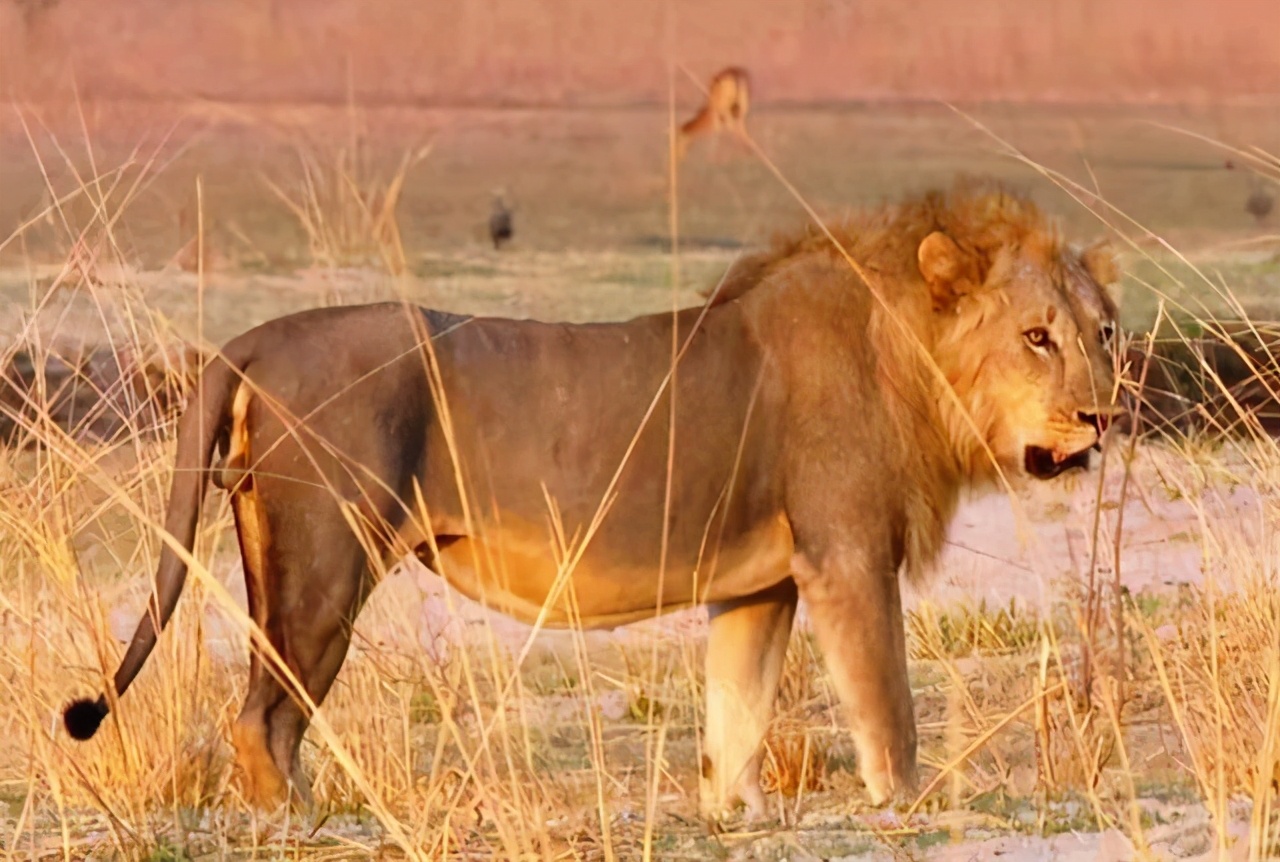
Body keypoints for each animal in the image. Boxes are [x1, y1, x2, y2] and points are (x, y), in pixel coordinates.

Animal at [63, 181, 1119, 820]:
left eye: (1102, 331)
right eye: (1036, 336)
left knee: (266, 717)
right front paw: (902, 806)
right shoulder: (847, 556)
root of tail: (252, 339)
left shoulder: (759, 587)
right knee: (261, 720)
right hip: (325, 567)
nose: (1101, 417)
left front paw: (732, 815)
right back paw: (302, 821)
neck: (909, 357)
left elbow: (736, 716)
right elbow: (886, 705)